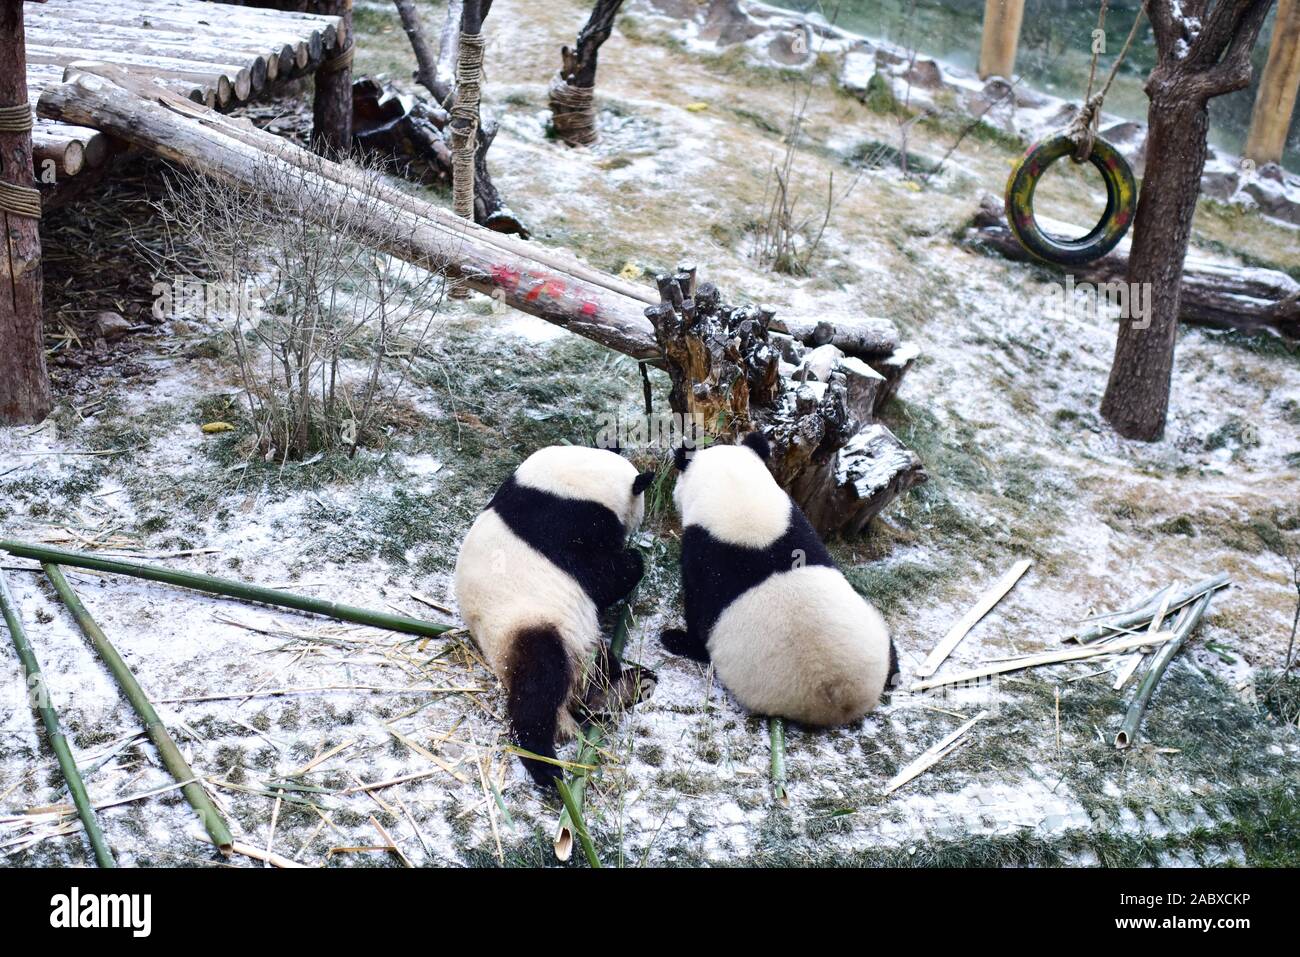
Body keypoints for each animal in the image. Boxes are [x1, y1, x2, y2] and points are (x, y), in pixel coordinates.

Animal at [454, 445, 656, 787]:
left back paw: (630, 686)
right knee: (540, 688)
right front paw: (633, 560)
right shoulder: (569, 524)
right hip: (529, 627)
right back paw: (544, 764)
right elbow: (600, 579)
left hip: (578, 642)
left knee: (599, 669)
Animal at [661, 433, 899, 725]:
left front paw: (678, 638)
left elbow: (698, 609)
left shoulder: (704, 557)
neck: (738, 496)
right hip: (872, 632)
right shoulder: (801, 525)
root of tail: (844, 700)